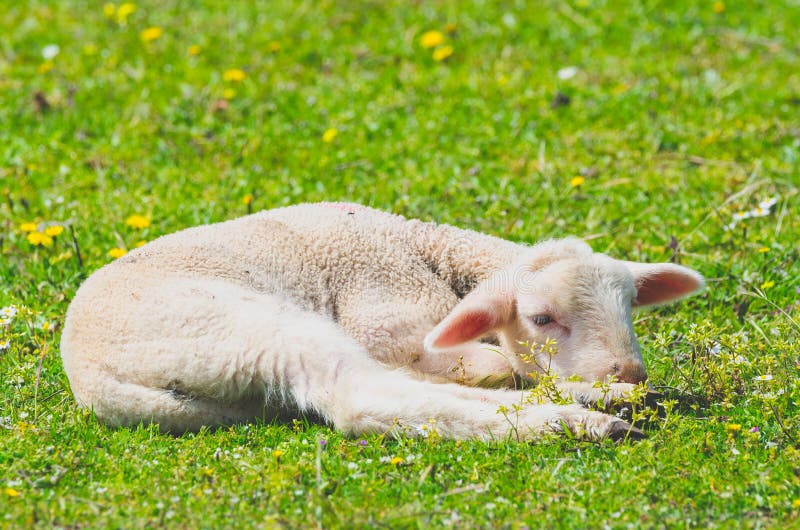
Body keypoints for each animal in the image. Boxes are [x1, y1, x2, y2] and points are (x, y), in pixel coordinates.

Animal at [60, 202, 704, 441]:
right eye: (543, 318)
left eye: (630, 307)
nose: (630, 374)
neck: (428, 252)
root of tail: (89, 377)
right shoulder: (388, 320)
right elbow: (494, 365)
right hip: (251, 328)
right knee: (362, 398)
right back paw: (583, 421)